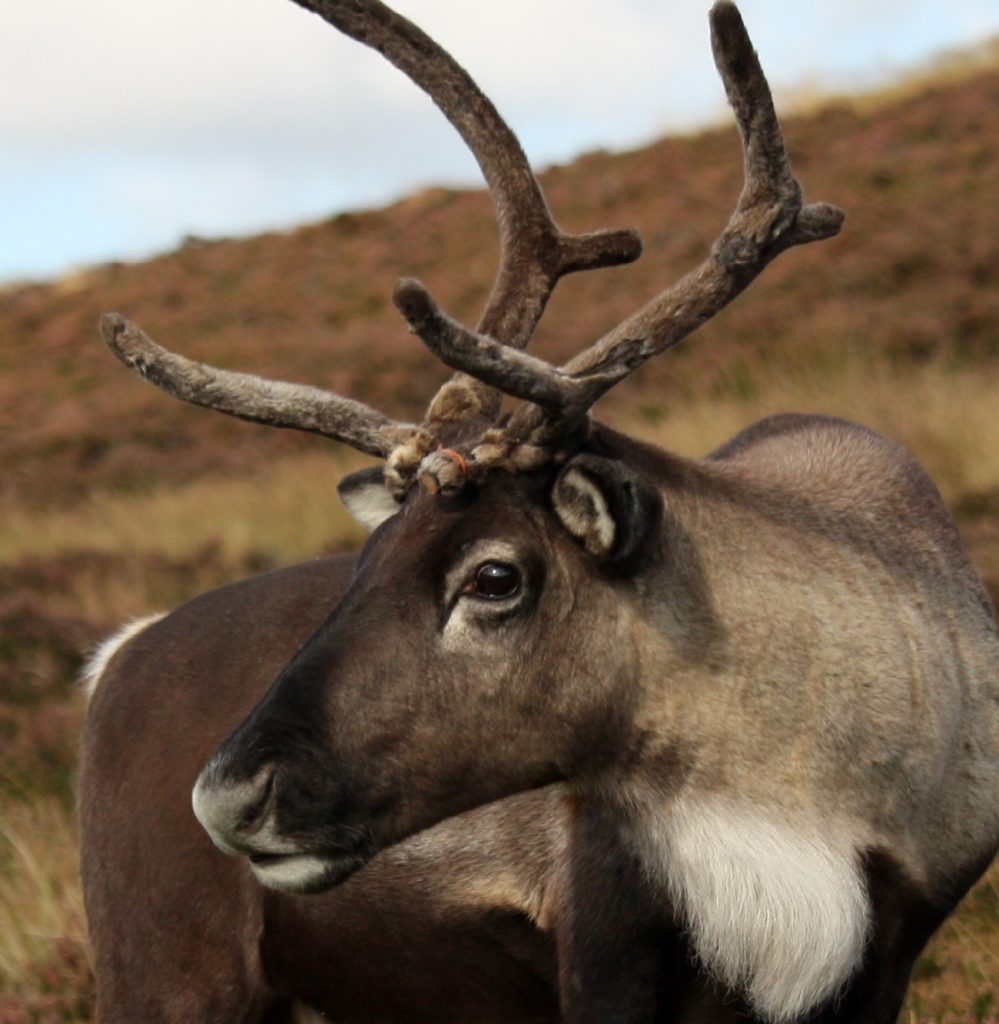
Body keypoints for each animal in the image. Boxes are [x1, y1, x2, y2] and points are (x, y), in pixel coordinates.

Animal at [78, 1, 999, 1022]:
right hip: (163, 970)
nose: (226, 798)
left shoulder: (888, 951)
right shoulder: (602, 939)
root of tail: (119, 654)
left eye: (494, 576)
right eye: (369, 555)